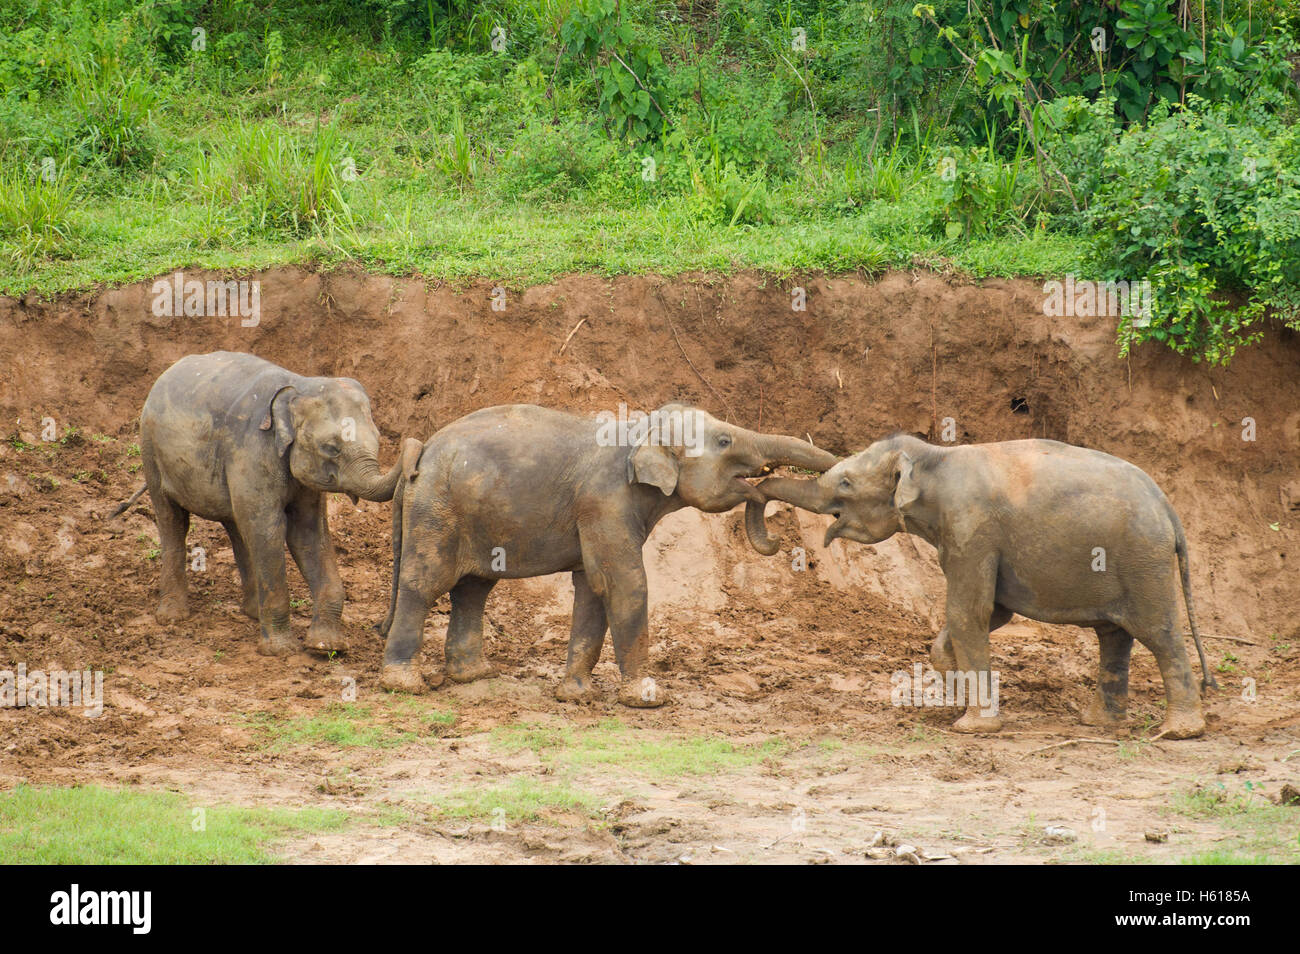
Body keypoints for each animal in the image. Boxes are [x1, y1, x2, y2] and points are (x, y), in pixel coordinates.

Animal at [112, 351, 421, 656]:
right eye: (331, 448)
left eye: (378, 439)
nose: (414, 454)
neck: (300, 385)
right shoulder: (253, 449)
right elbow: (269, 531)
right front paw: (281, 650)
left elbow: (308, 535)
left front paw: (326, 647)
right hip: (151, 451)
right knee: (173, 521)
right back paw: (173, 616)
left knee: (237, 525)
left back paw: (251, 612)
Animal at [376, 402, 839, 706]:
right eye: (724, 441)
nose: (777, 539)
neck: (637, 431)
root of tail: (420, 452)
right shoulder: (605, 502)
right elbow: (625, 583)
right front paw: (648, 698)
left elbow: (592, 588)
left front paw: (574, 696)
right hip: (436, 509)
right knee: (426, 582)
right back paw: (405, 685)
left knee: (473, 589)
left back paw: (474, 674)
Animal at [746, 433, 1215, 739]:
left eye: (845, 483)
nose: (778, 540)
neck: (933, 456)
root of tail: (1168, 508)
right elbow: (992, 611)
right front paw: (956, 692)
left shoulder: (971, 528)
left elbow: (968, 611)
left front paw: (971, 726)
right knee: (1114, 636)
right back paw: (1098, 723)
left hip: (1143, 562)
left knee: (1159, 633)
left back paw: (1179, 732)